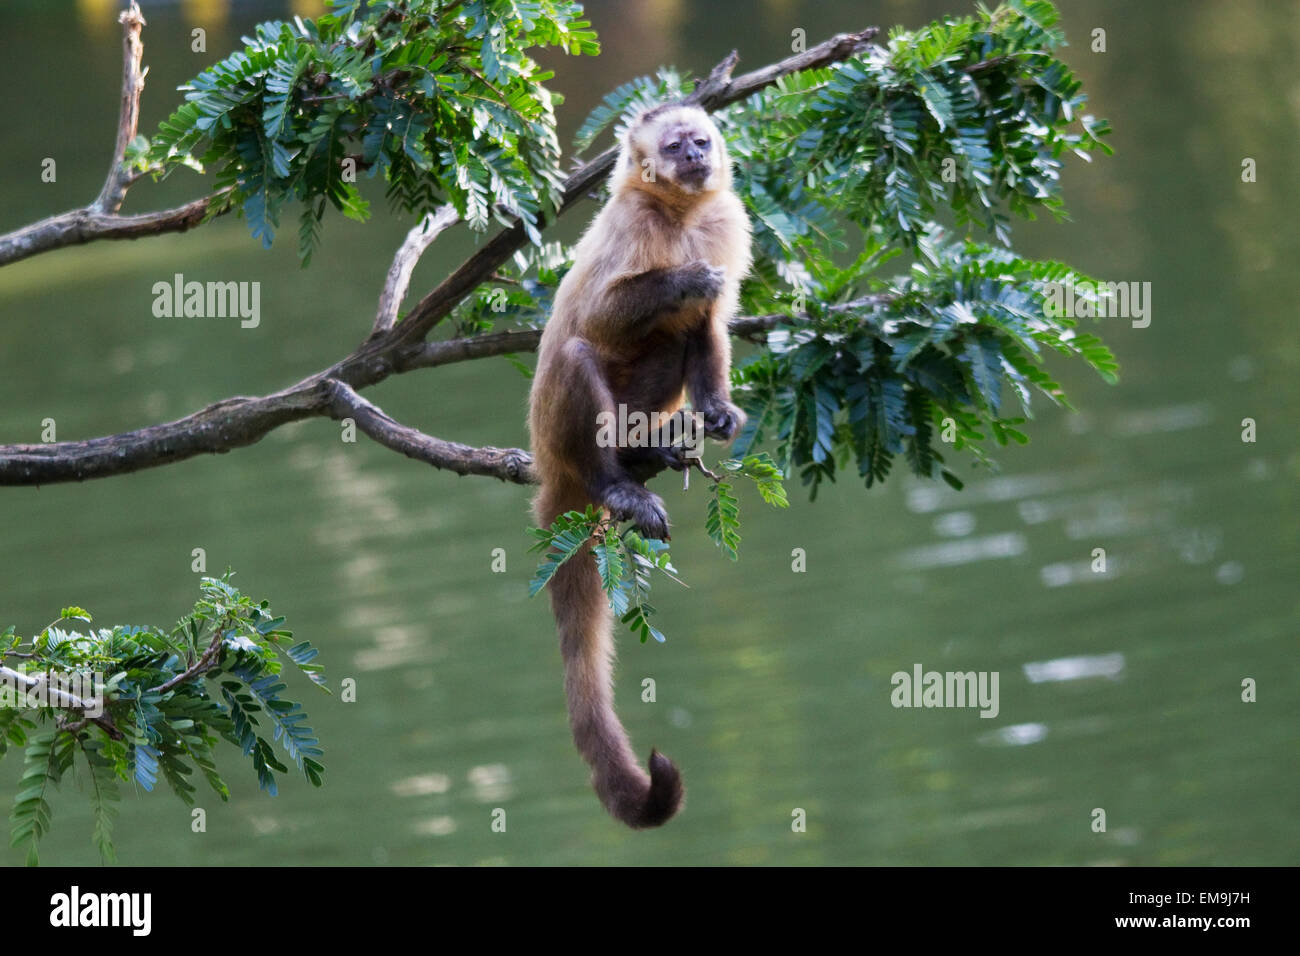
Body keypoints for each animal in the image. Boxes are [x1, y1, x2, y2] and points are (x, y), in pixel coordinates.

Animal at [527, 103, 752, 828]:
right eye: (675, 146)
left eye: (701, 141)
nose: (696, 157)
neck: (680, 216)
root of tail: (552, 471)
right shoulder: (634, 223)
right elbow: (604, 313)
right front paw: (684, 279)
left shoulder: (724, 222)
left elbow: (709, 325)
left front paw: (717, 410)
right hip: (559, 440)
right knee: (578, 350)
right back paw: (614, 483)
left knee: (677, 335)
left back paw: (645, 452)